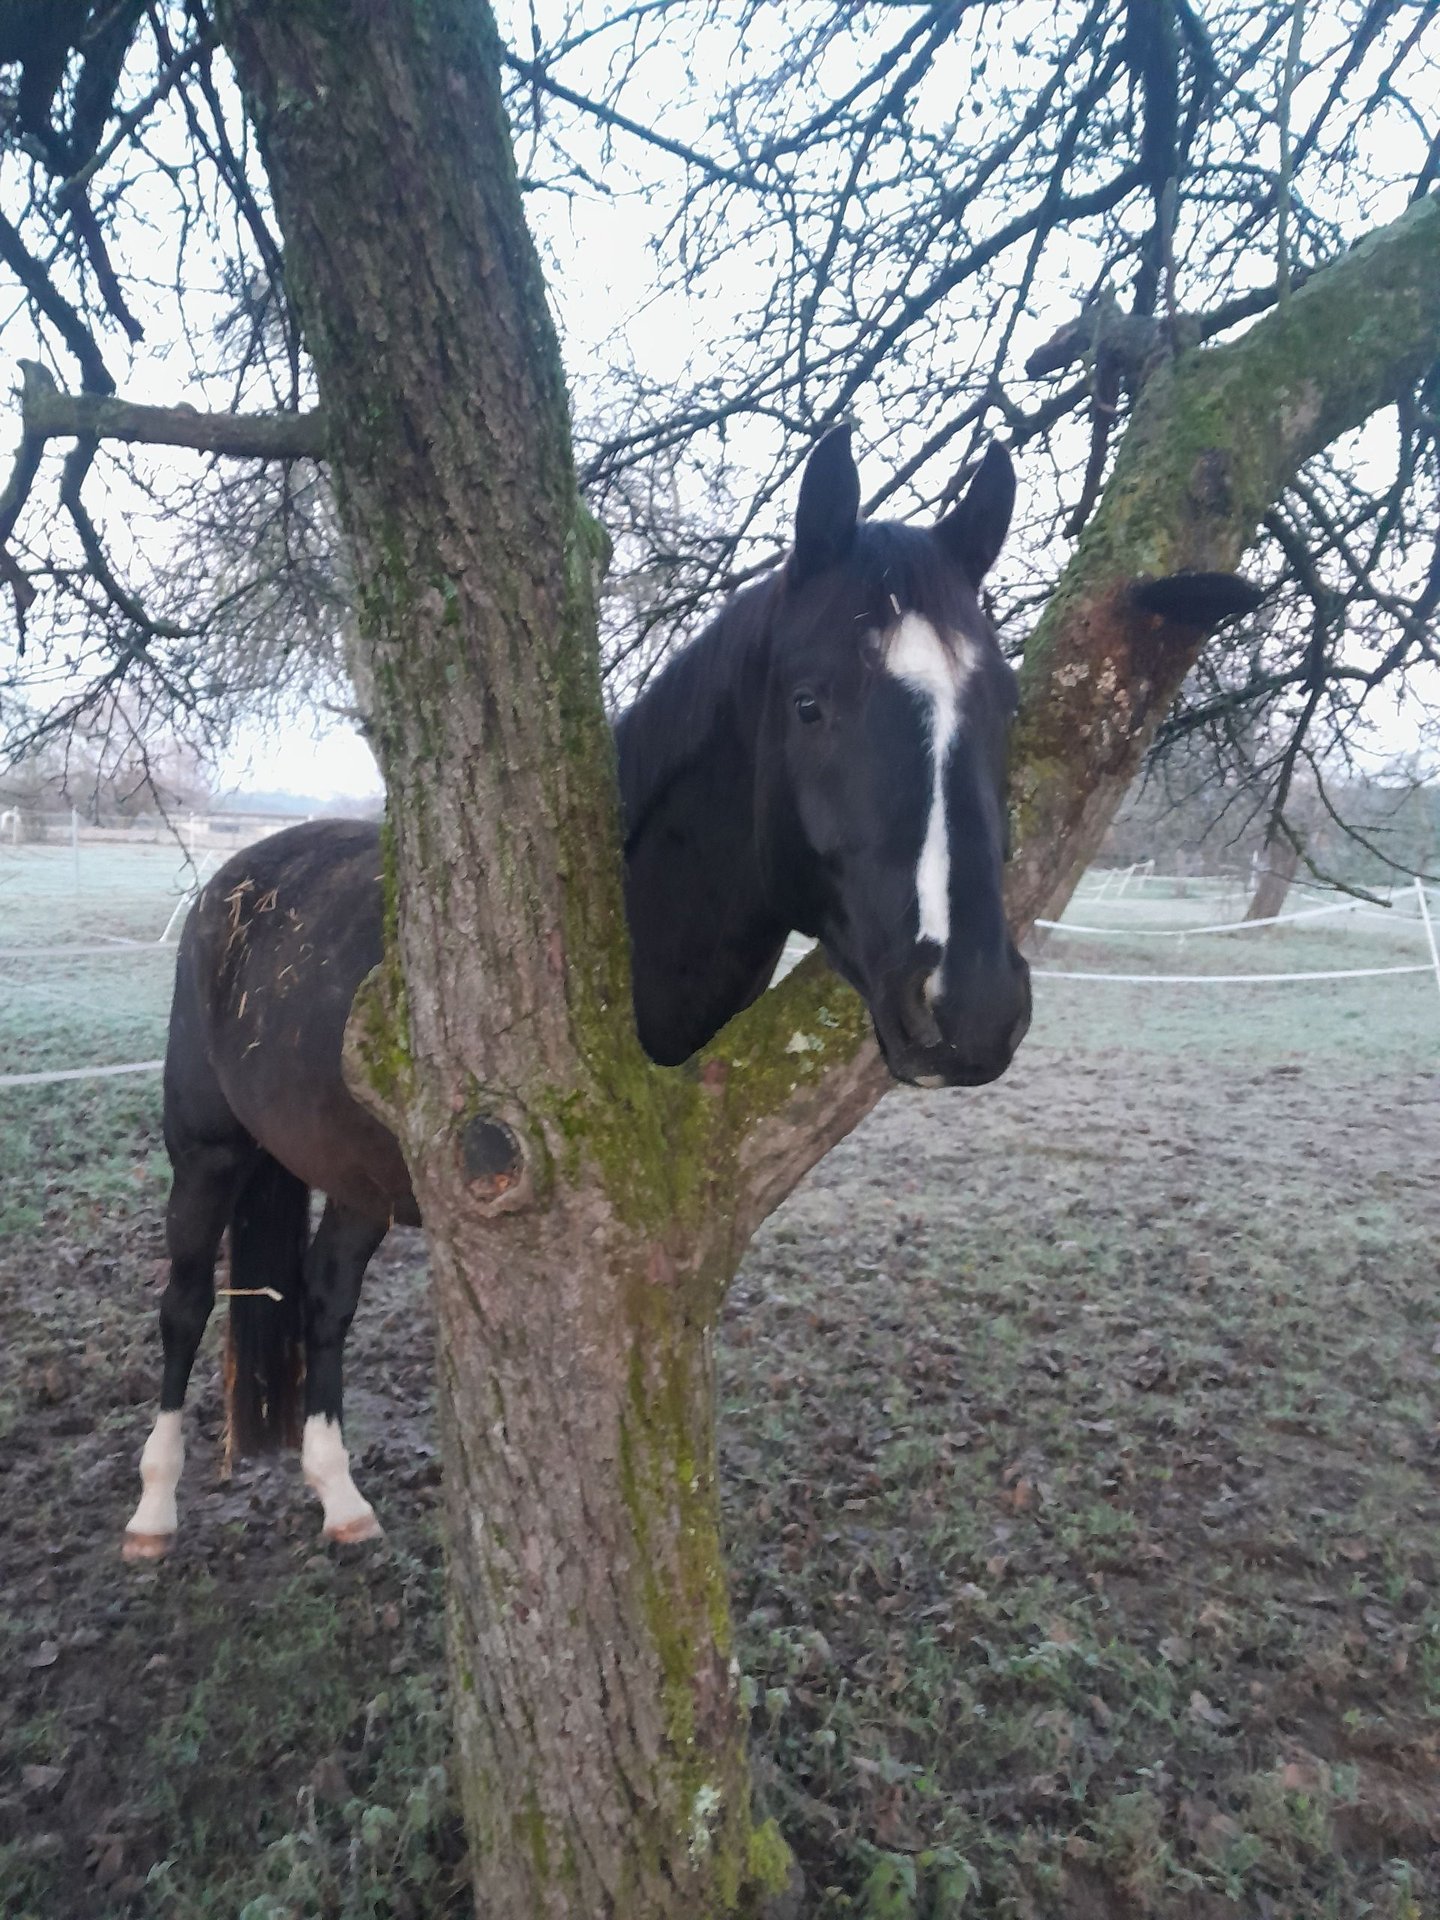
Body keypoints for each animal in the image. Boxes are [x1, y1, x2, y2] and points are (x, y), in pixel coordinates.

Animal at [122, 423, 1038, 1558]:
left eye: (1005, 705)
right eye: (811, 702)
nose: (972, 1005)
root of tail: (232, 887)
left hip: (352, 1171)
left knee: (325, 1297)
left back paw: (340, 1498)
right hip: (205, 1154)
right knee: (183, 1302)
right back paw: (153, 1509)